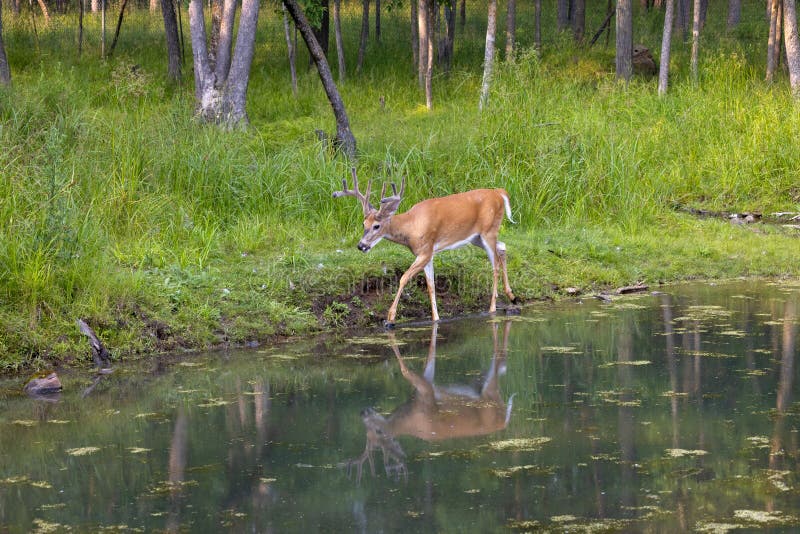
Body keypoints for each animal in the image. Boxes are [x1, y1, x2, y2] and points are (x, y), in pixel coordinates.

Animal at [333, 168, 517, 327]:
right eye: (363, 224)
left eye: (376, 226)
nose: (361, 245)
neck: (411, 226)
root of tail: (499, 193)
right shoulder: (428, 254)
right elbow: (431, 286)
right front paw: (436, 318)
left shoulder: (425, 251)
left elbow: (404, 278)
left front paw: (390, 318)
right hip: (477, 238)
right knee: (502, 247)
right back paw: (512, 296)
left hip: (489, 231)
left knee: (495, 264)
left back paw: (492, 308)